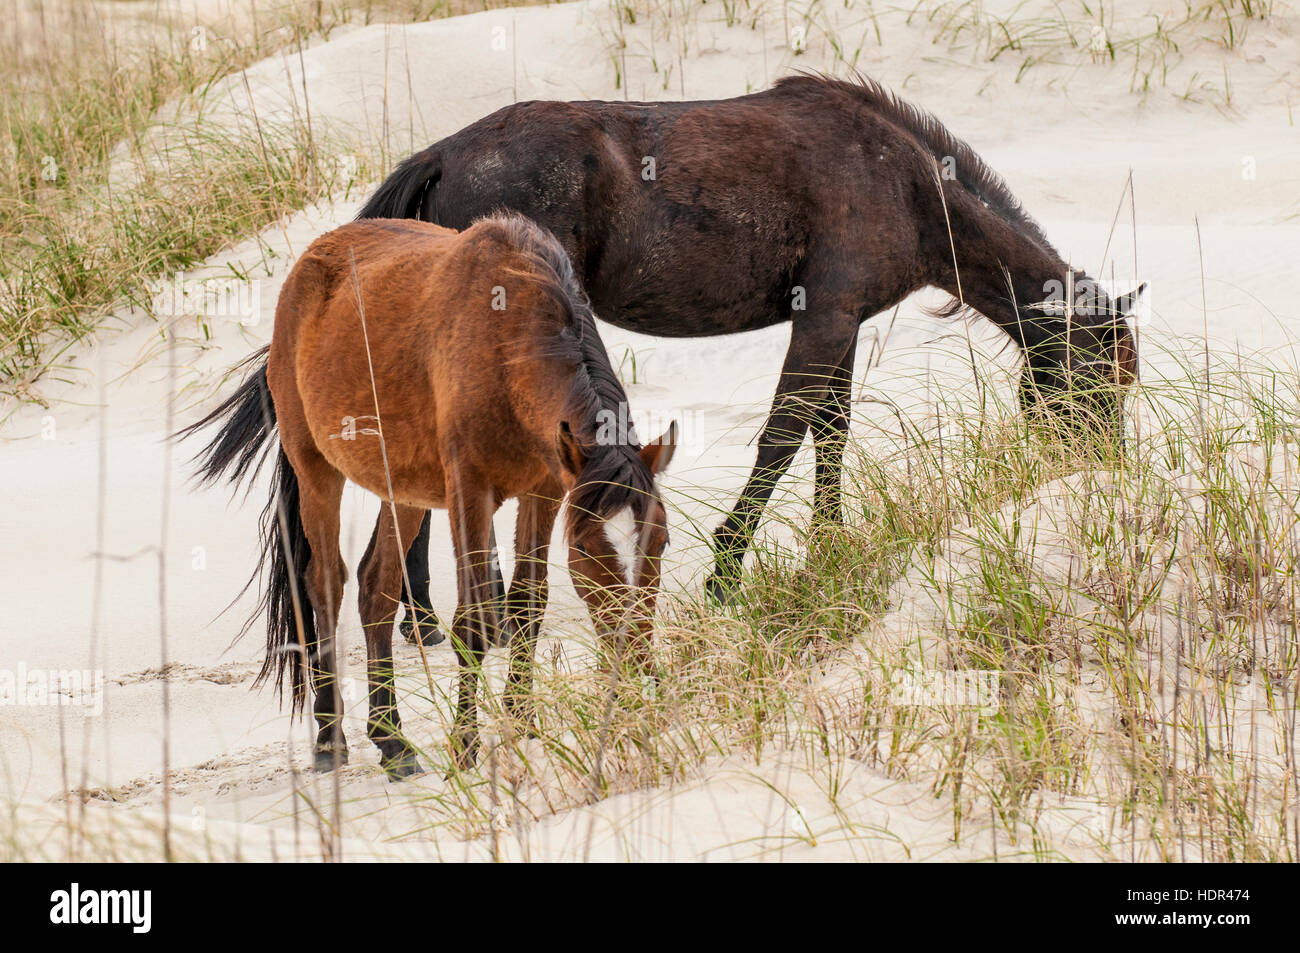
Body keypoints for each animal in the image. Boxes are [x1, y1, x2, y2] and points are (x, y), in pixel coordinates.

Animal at [181, 214, 677, 776]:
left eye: (660, 543)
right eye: (590, 551)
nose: (635, 660)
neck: (509, 342)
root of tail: (310, 264)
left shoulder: (546, 489)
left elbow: (526, 607)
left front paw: (521, 725)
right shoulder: (470, 493)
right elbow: (475, 622)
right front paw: (466, 745)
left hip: (404, 490)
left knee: (375, 587)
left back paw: (392, 740)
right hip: (315, 470)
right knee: (325, 584)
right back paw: (330, 740)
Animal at [357, 71, 1142, 638]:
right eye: (1103, 383)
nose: (1104, 472)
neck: (910, 184)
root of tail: (440, 156)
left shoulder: (841, 324)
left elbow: (831, 430)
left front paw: (826, 544)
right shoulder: (824, 318)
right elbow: (785, 434)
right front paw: (728, 568)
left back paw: (421, 616)